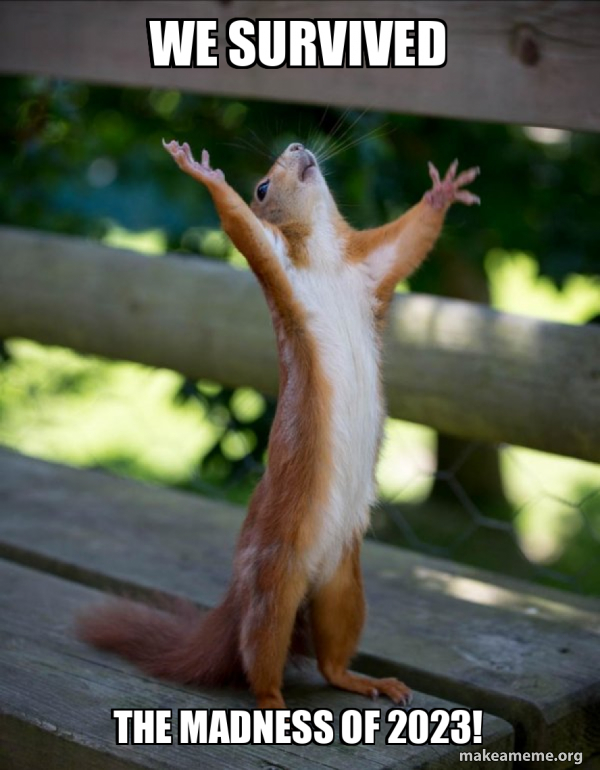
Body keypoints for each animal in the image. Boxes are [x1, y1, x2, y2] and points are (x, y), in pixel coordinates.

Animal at [78, 139, 479, 710]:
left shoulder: (372, 267)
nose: (296, 146)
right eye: (262, 187)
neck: (327, 258)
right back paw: (273, 702)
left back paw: (366, 680)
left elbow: (410, 240)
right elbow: (240, 225)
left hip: (344, 586)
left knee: (332, 659)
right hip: (274, 583)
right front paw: (204, 173)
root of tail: (238, 596)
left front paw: (442, 192)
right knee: (259, 655)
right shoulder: (276, 264)